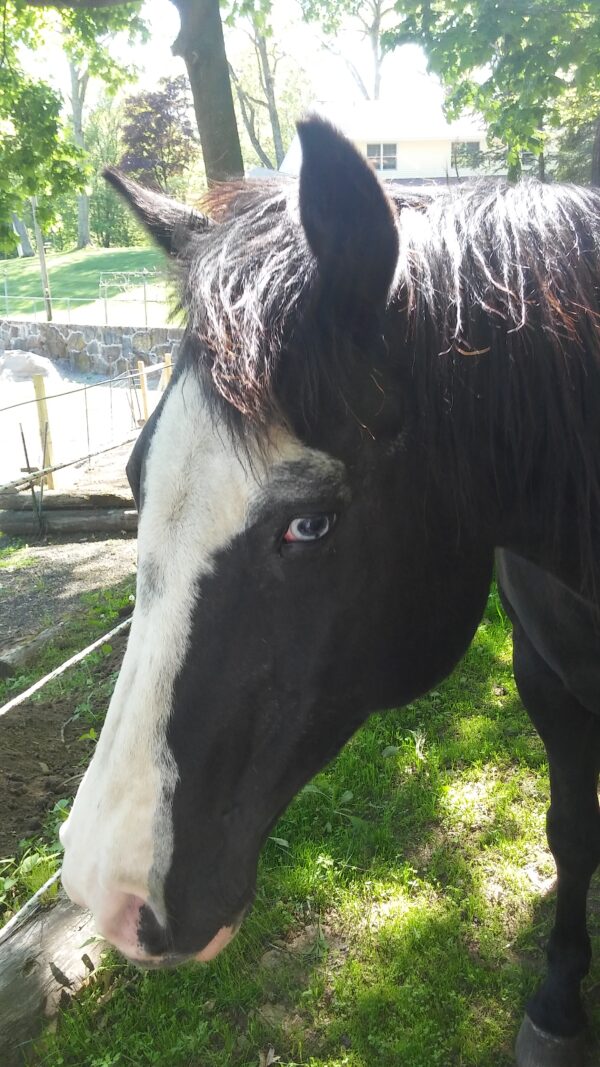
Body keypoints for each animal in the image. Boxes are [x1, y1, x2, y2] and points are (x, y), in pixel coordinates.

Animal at [59, 118, 600, 1067]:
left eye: (308, 525)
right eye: (134, 480)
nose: (106, 887)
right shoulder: (545, 677)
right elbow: (573, 830)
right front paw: (561, 999)